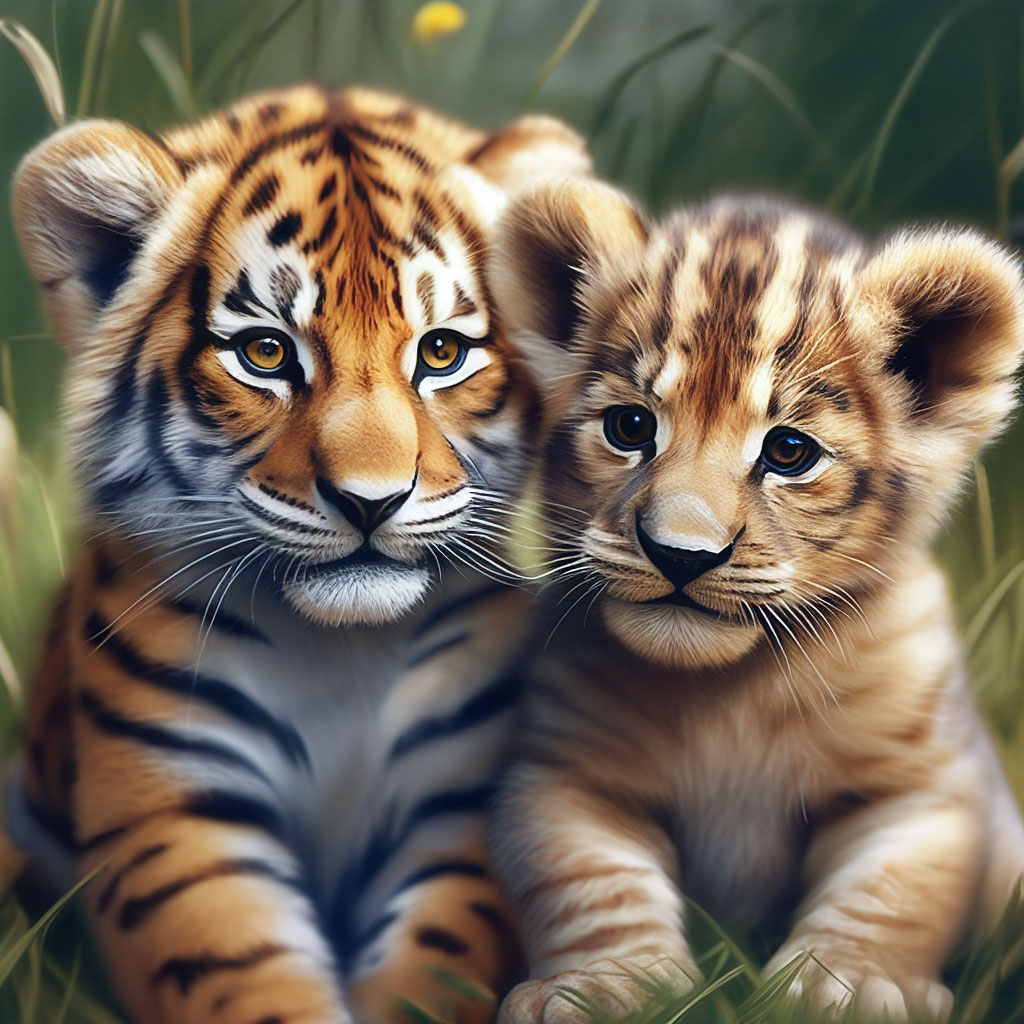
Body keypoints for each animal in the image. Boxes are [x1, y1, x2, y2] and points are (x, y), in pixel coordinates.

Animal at [5, 84, 591, 1024]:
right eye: (266, 352)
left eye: (440, 351)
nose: (371, 500)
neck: (338, 650)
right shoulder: (175, 816)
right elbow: (244, 978)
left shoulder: (459, 806)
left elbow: (436, 973)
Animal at [485, 179, 1024, 1022]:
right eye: (630, 427)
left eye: (789, 452)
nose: (680, 553)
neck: (732, 695)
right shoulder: (559, 771)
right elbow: (585, 880)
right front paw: (608, 986)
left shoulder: (930, 783)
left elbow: (895, 890)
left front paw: (847, 987)